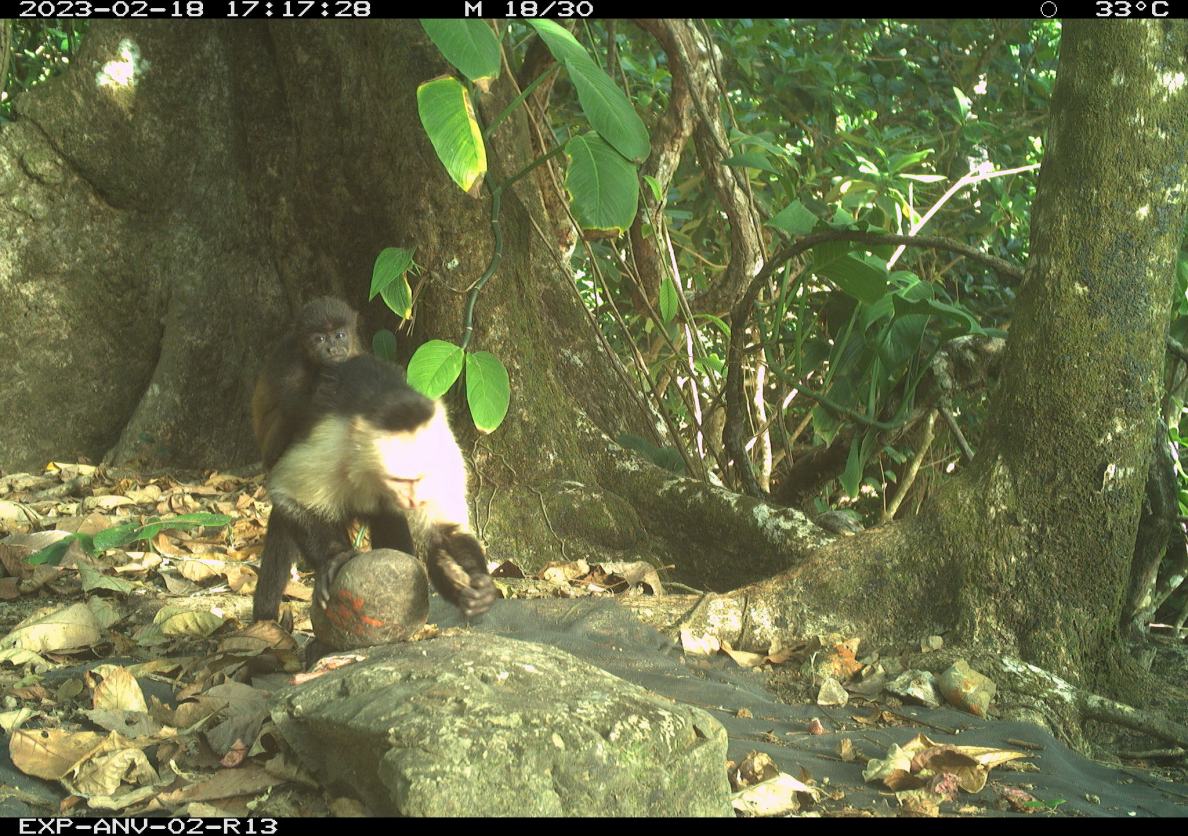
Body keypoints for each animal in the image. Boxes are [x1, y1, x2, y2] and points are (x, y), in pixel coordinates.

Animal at [251, 297, 362, 470]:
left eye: (340, 335)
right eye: (320, 339)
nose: (333, 349)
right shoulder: (292, 357)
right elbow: (291, 403)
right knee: (287, 416)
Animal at [252, 353, 497, 623]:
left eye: (420, 478)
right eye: (400, 480)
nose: (414, 500)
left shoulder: (446, 451)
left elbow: (447, 531)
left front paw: (477, 584)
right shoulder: (331, 442)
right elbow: (286, 494)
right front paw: (336, 557)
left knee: (390, 522)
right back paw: (266, 620)